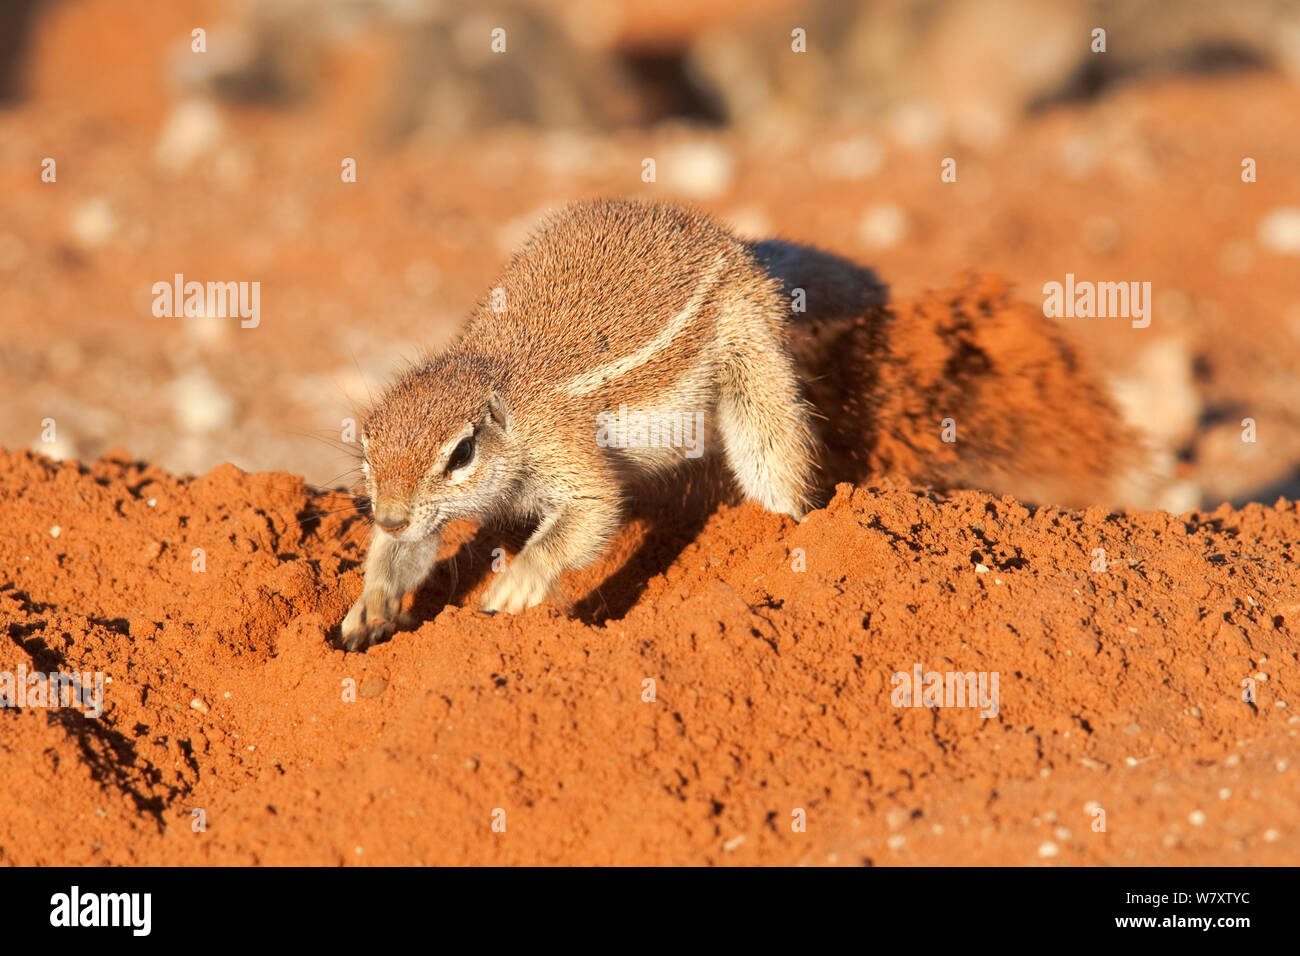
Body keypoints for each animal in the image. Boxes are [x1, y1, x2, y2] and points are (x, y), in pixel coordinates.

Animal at [339, 198, 884, 650]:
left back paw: (790, 530)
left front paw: (516, 583)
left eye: (461, 454)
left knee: (773, 448)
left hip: (750, 355)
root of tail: (731, 241)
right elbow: (405, 551)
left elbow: (592, 511)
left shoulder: (561, 445)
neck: (506, 394)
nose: (388, 518)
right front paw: (370, 606)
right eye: (367, 453)